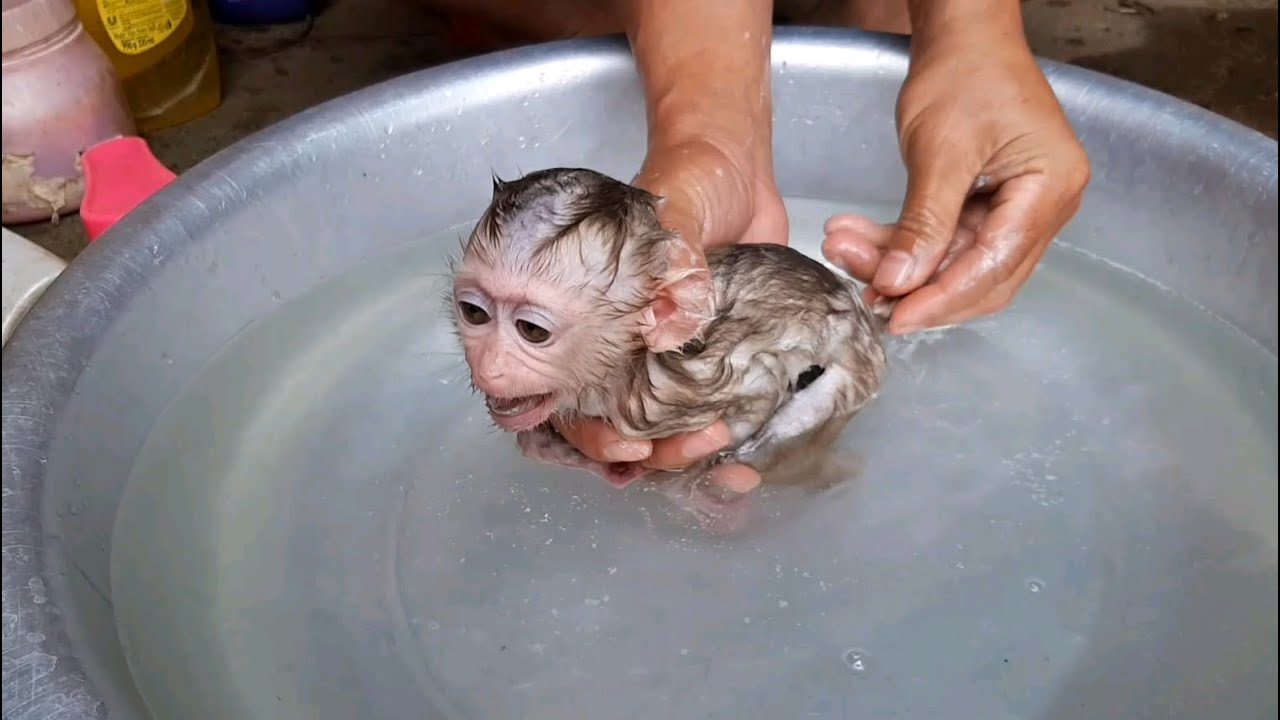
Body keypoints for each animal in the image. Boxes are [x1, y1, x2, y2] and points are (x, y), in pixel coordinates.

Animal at [449, 167, 894, 534]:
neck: (626, 372)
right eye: (474, 312)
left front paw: (682, 485)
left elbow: (759, 392)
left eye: (531, 330)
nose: (489, 366)